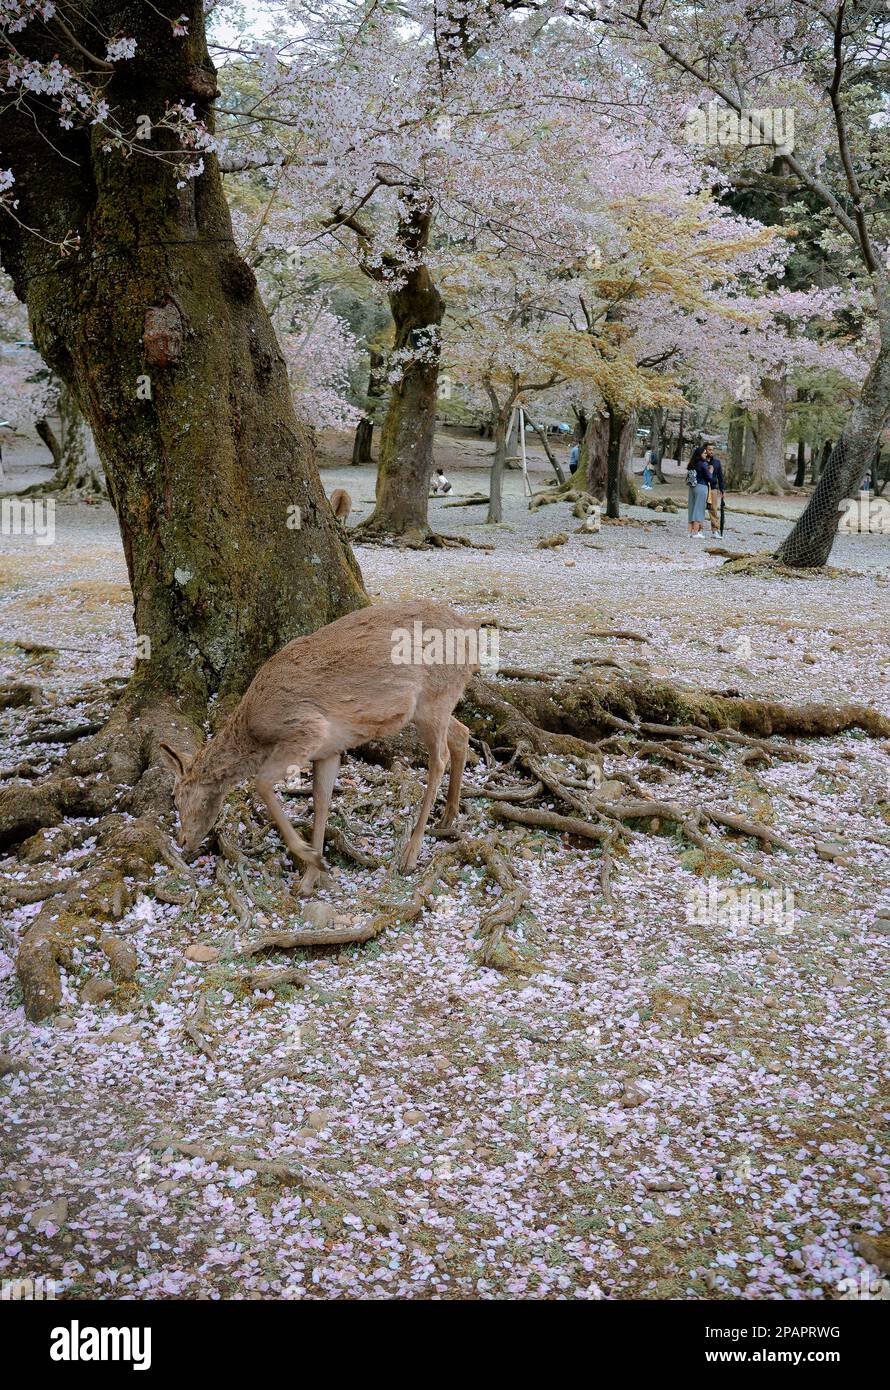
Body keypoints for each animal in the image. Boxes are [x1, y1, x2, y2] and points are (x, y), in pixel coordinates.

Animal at [159, 600, 477, 895]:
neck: (254, 733)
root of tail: (469, 632)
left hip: (434, 698)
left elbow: (261, 783)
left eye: (176, 795)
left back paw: (411, 852)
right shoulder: (329, 750)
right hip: (434, 706)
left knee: (439, 758)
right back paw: (448, 816)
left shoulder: (306, 729)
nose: (182, 841)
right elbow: (321, 801)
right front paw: (312, 876)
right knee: (461, 733)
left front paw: (311, 857)